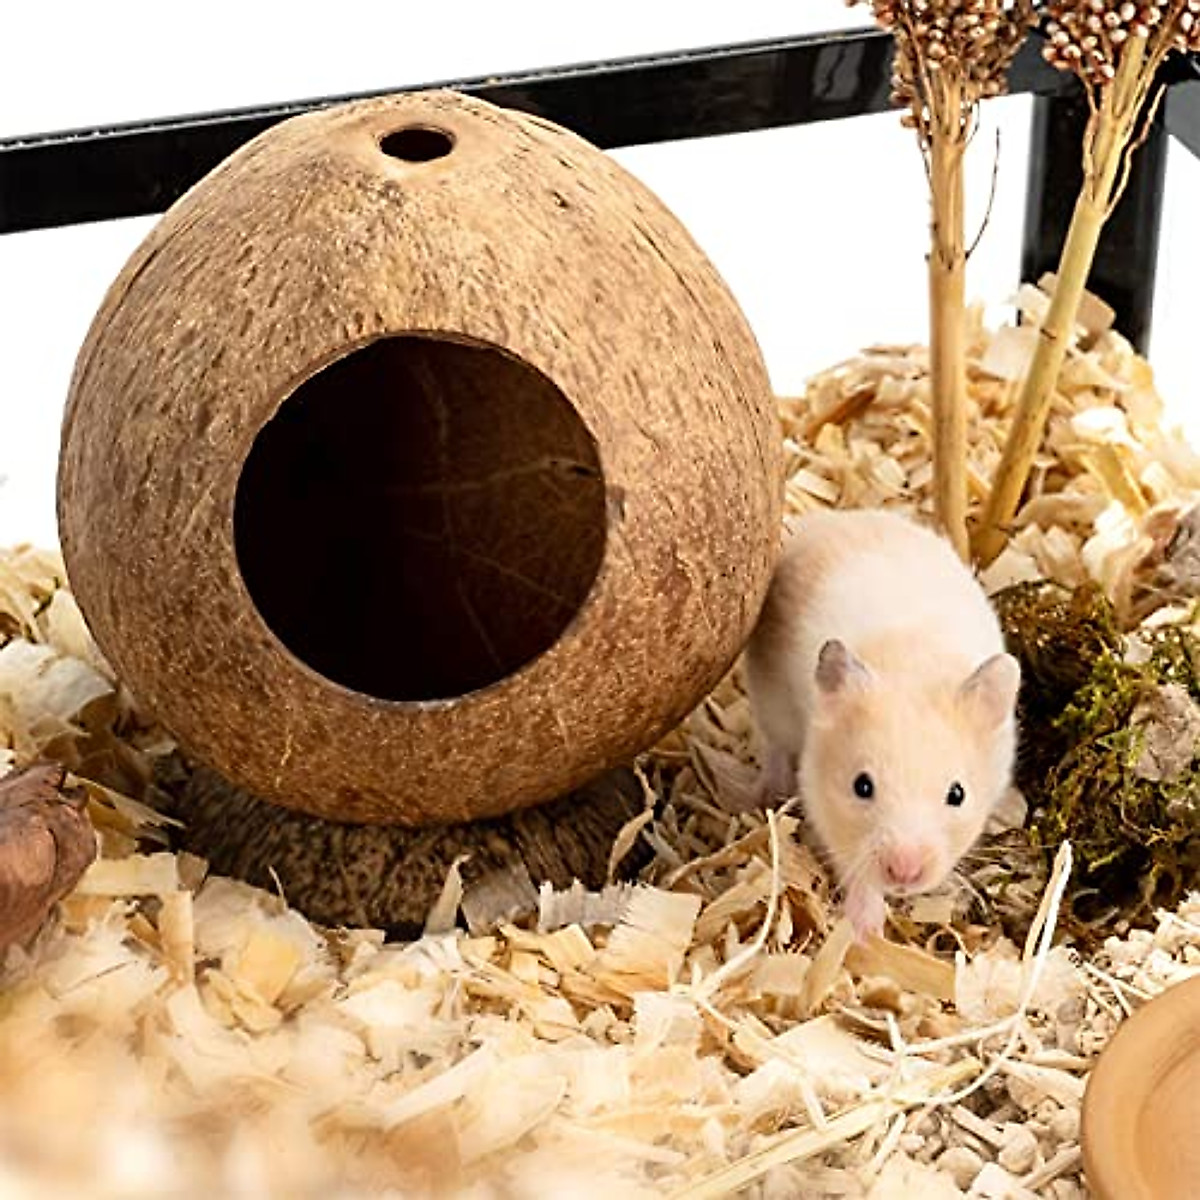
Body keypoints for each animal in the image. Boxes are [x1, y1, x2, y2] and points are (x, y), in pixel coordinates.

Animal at [743, 508, 1020, 941]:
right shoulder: (822, 798)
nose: (904, 875)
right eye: (862, 786)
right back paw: (764, 795)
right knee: (774, 745)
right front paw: (865, 931)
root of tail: (818, 522)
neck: (911, 662)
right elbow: (855, 870)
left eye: (957, 794)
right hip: (771, 701)